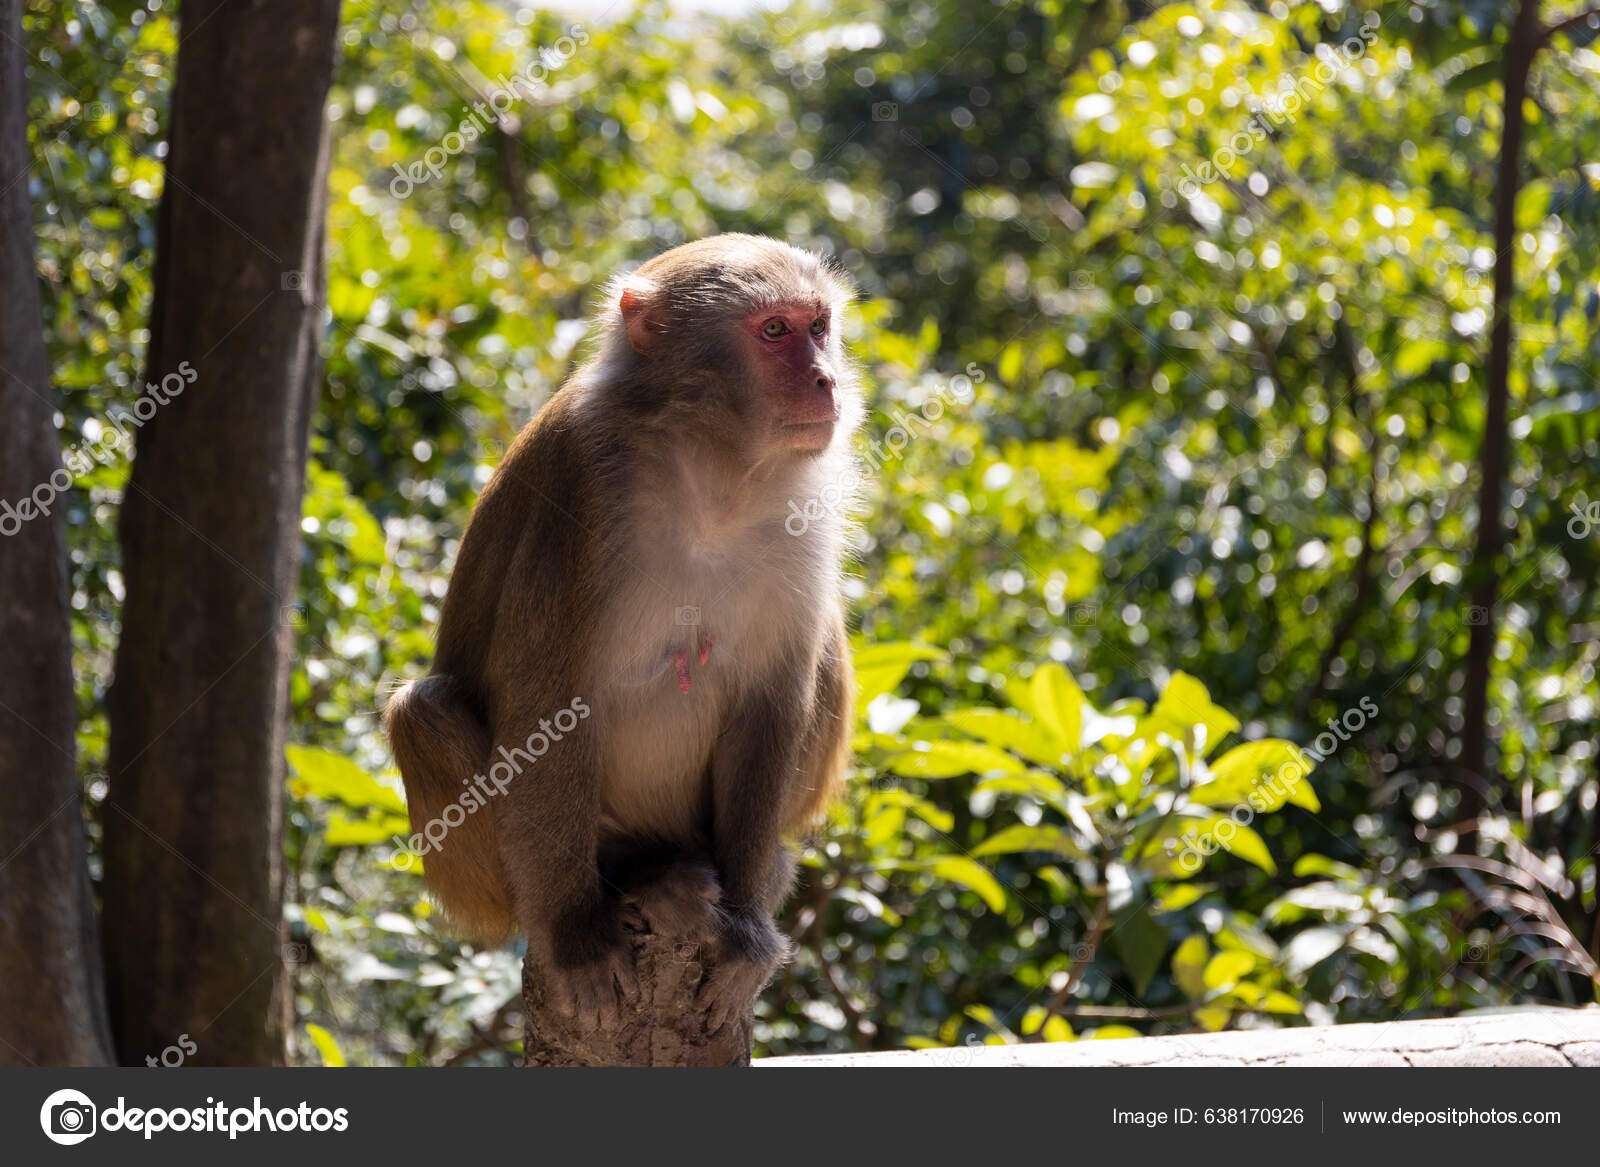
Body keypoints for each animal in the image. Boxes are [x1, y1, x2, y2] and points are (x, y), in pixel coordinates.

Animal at [385, 234, 860, 1033]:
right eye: (774, 332)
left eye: (819, 326)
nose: (825, 380)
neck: (708, 468)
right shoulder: (580, 492)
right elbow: (550, 707)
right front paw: (578, 936)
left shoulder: (802, 514)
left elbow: (773, 696)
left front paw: (745, 929)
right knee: (421, 712)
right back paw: (634, 875)